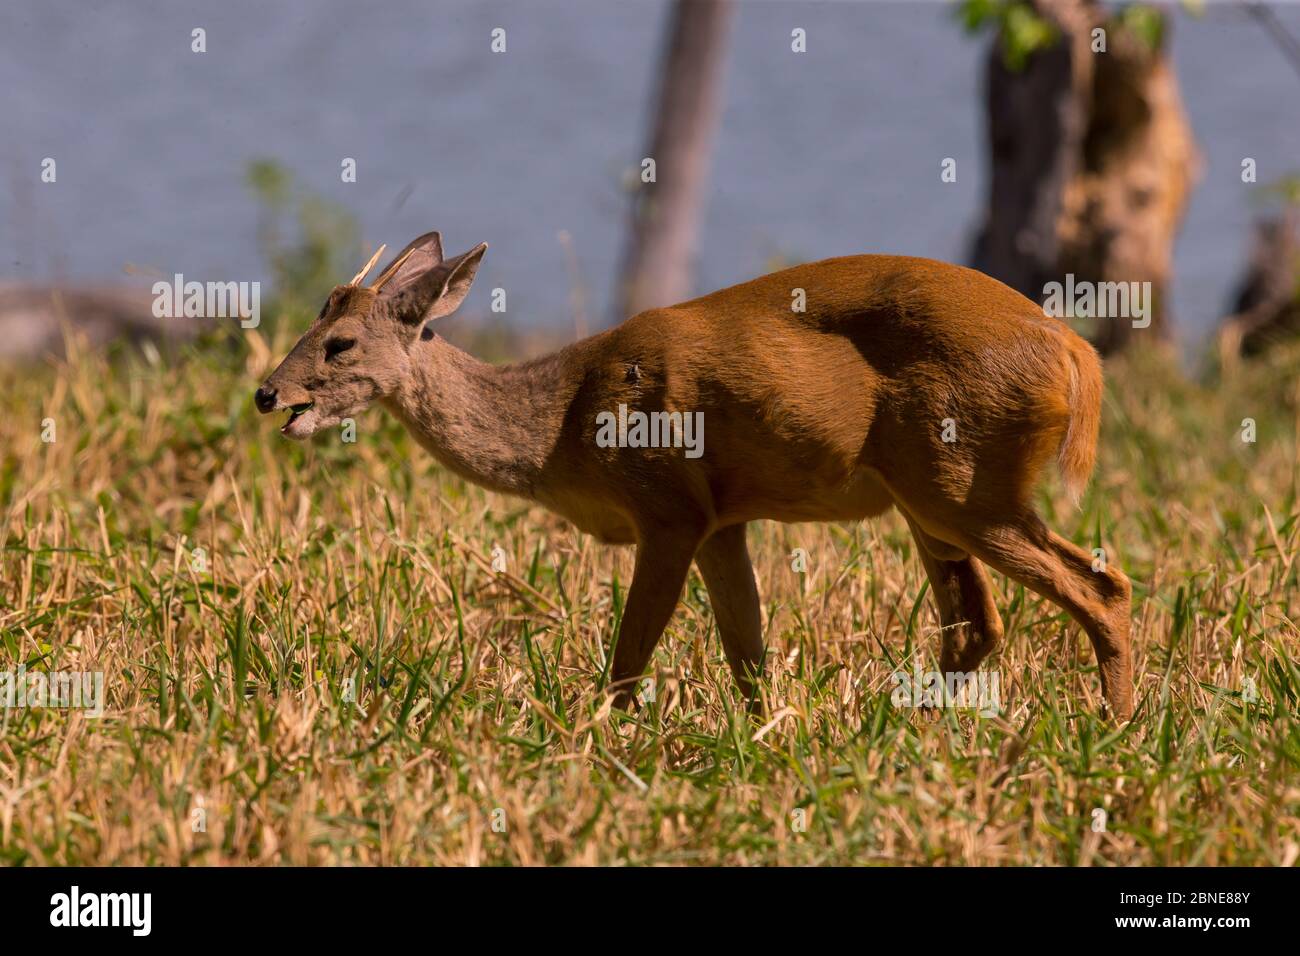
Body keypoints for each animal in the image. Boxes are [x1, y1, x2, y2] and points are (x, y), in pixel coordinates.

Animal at [255, 232, 1134, 721]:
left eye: (338, 344)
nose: (268, 393)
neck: (560, 424)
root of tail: (1073, 350)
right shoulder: (723, 519)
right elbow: (747, 648)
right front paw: (766, 741)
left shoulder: (667, 506)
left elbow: (630, 654)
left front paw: (595, 743)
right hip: (931, 495)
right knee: (976, 625)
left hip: (962, 481)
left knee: (1103, 585)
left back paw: (1114, 730)